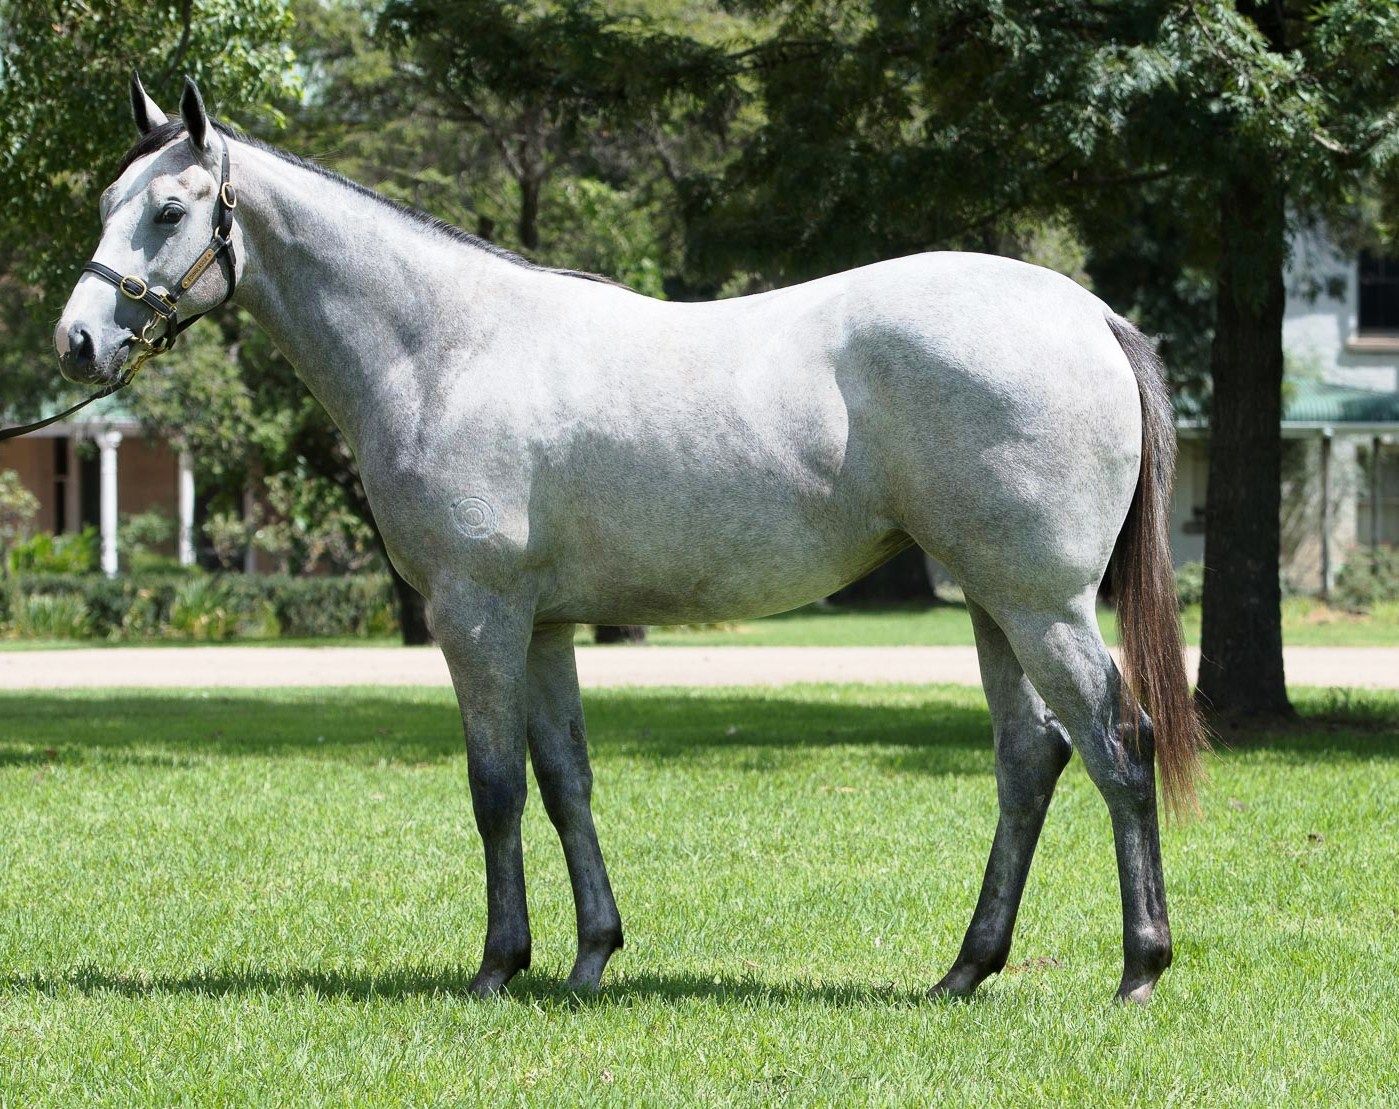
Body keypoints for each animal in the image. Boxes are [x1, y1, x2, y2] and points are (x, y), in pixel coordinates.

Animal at [53, 74, 1204, 1004]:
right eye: (107, 204)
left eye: (167, 208)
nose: (76, 342)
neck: (446, 344)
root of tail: (1087, 314)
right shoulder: (544, 624)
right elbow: (566, 782)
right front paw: (590, 956)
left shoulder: (474, 613)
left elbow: (494, 787)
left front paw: (496, 966)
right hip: (991, 600)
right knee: (1029, 760)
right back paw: (965, 968)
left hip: (1039, 603)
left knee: (1118, 745)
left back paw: (1139, 968)